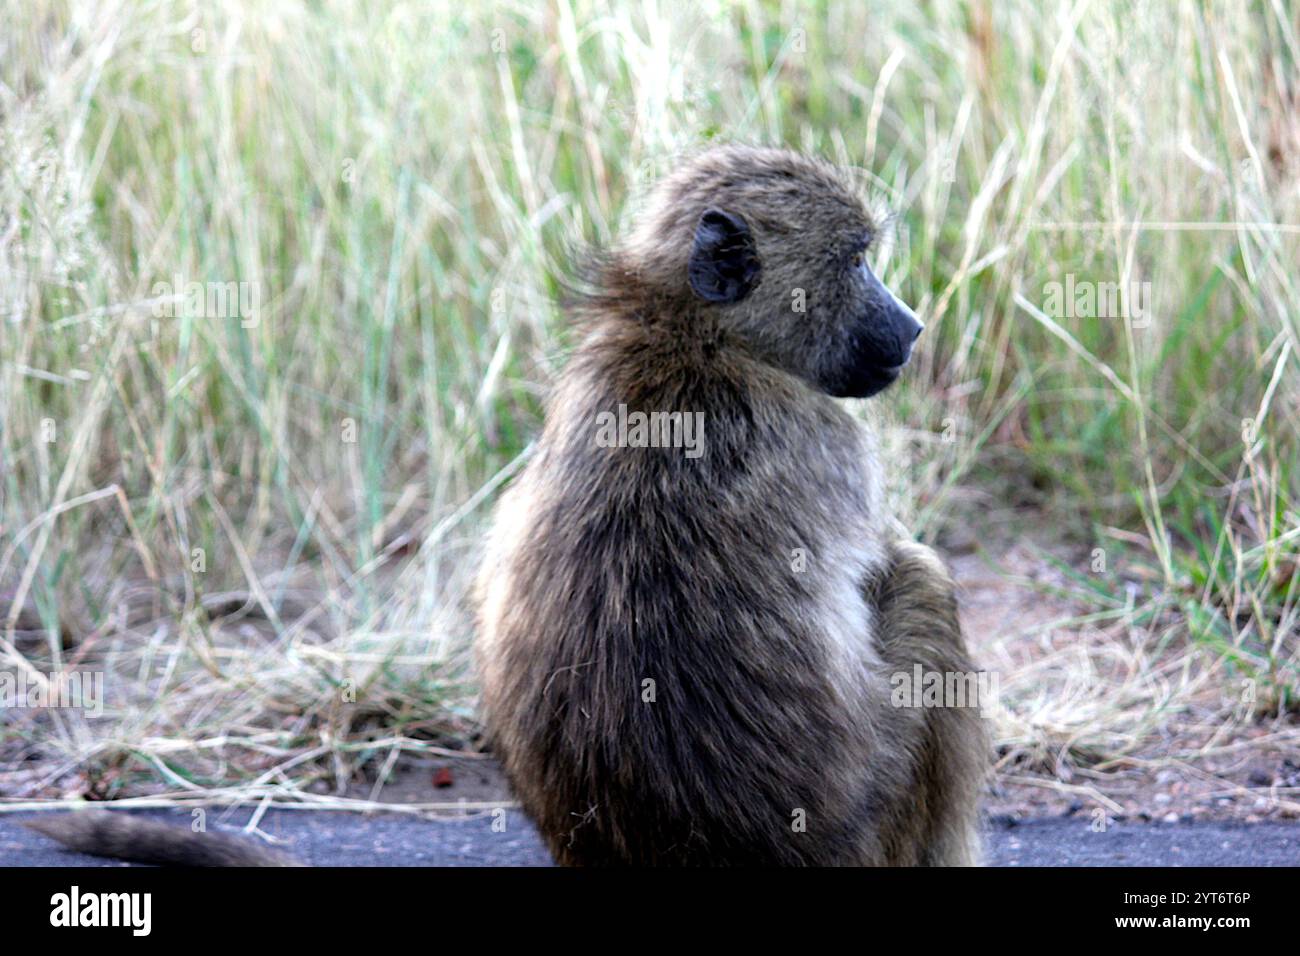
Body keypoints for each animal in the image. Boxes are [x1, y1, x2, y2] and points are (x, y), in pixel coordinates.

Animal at [475, 145, 989, 866]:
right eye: (857, 261)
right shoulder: (828, 439)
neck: (692, 332)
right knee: (924, 577)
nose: (912, 327)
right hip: (882, 821)